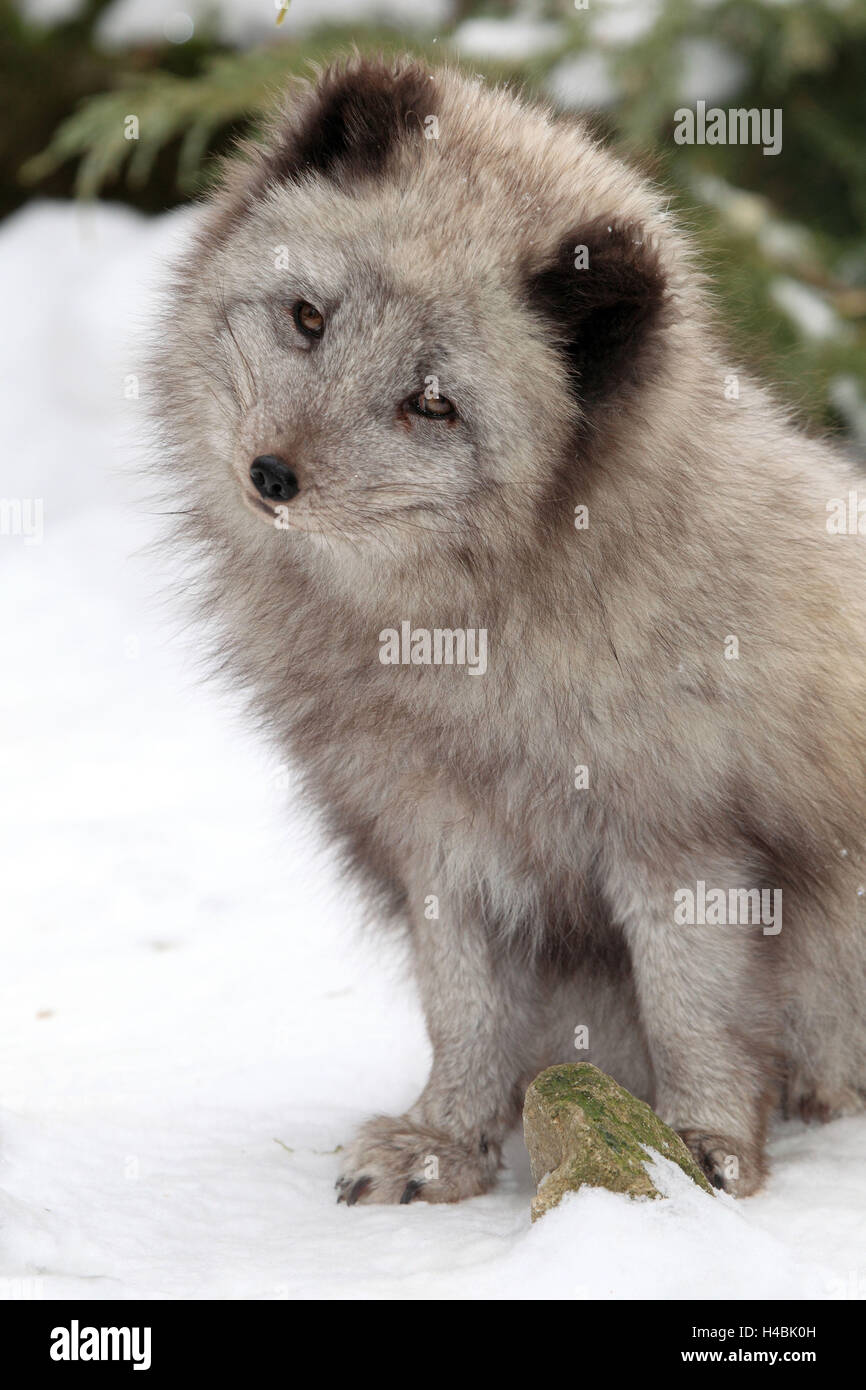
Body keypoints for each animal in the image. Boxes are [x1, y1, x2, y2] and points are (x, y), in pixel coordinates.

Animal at [153, 55, 866, 1203]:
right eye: (307, 317)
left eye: (433, 403)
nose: (270, 476)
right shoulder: (439, 836)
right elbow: (462, 1007)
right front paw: (443, 1141)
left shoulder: (685, 837)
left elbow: (695, 1012)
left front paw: (702, 1151)